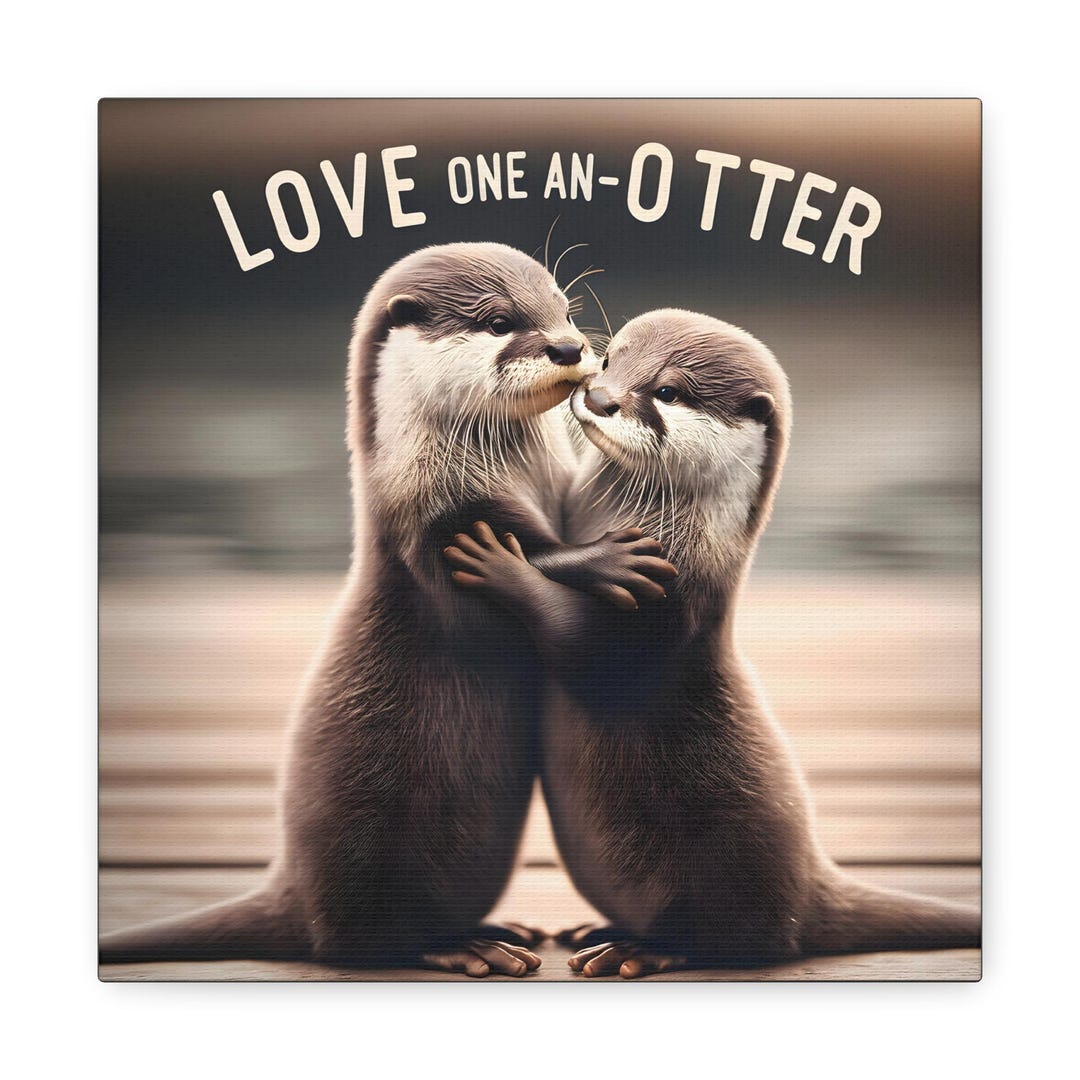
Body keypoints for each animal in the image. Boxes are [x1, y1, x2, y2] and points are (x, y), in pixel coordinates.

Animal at [100, 244, 674, 977]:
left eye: (563, 308)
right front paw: (608, 558)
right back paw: (467, 947)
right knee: (369, 938)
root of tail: (295, 893)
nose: (571, 346)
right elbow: (516, 562)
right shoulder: (428, 516)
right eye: (499, 321)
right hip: (373, 853)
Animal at [444, 308, 980, 977]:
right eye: (611, 357)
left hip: (725, 870)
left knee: (732, 937)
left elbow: (591, 656)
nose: (599, 396)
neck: (670, 529)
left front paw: (498, 564)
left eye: (668, 392)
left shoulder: (677, 584)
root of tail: (810, 887)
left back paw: (636, 950)